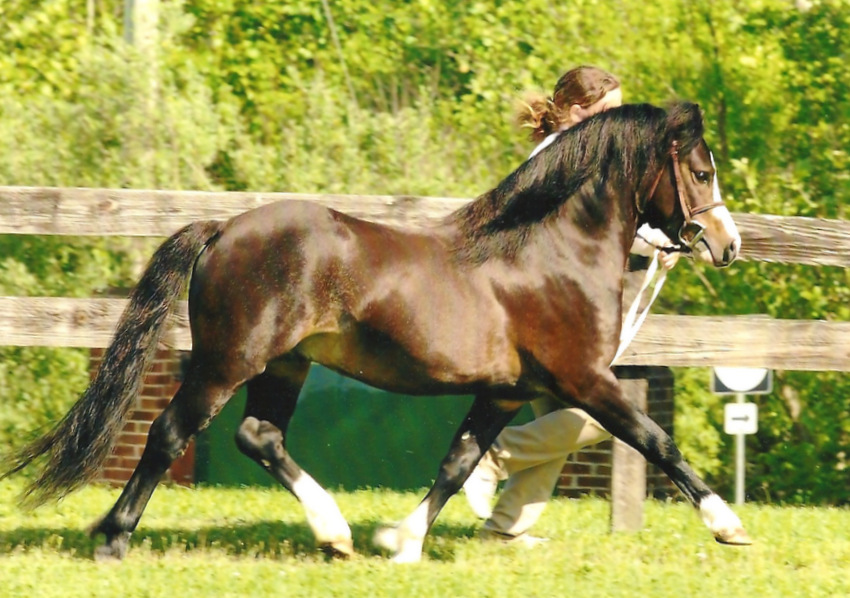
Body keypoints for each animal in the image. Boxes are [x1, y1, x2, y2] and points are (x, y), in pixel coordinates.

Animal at [2, 101, 747, 563]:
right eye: (701, 171)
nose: (728, 245)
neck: (550, 253)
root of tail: (221, 230)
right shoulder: (585, 379)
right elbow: (656, 440)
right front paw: (729, 526)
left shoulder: (506, 391)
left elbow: (459, 461)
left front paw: (401, 541)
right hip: (227, 361)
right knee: (169, 433)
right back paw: (112, 538)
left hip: (286, 364)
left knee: (259, 436)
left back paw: (335, 534)